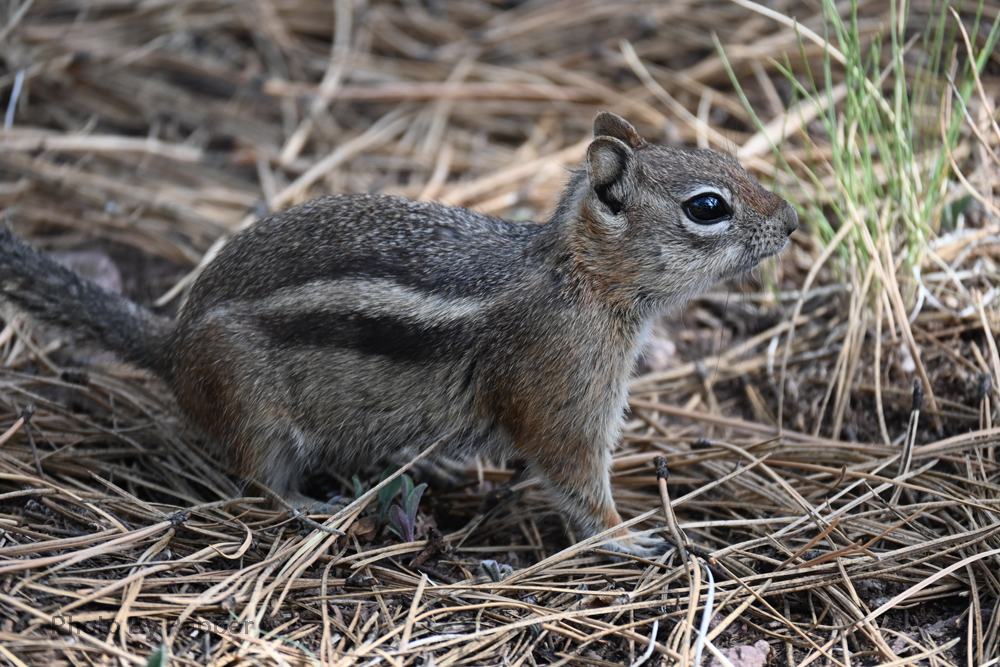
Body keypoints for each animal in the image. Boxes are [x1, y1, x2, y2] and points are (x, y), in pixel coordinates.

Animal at [0, 112, 796, 557]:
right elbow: (576, 481)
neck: (577, 278)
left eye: (728, 158)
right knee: (256, 476)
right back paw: (310, 507)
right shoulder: (563, 394)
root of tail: (174, 348)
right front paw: (630, 537)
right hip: (251, 405)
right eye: (707, 206)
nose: (791, 221)